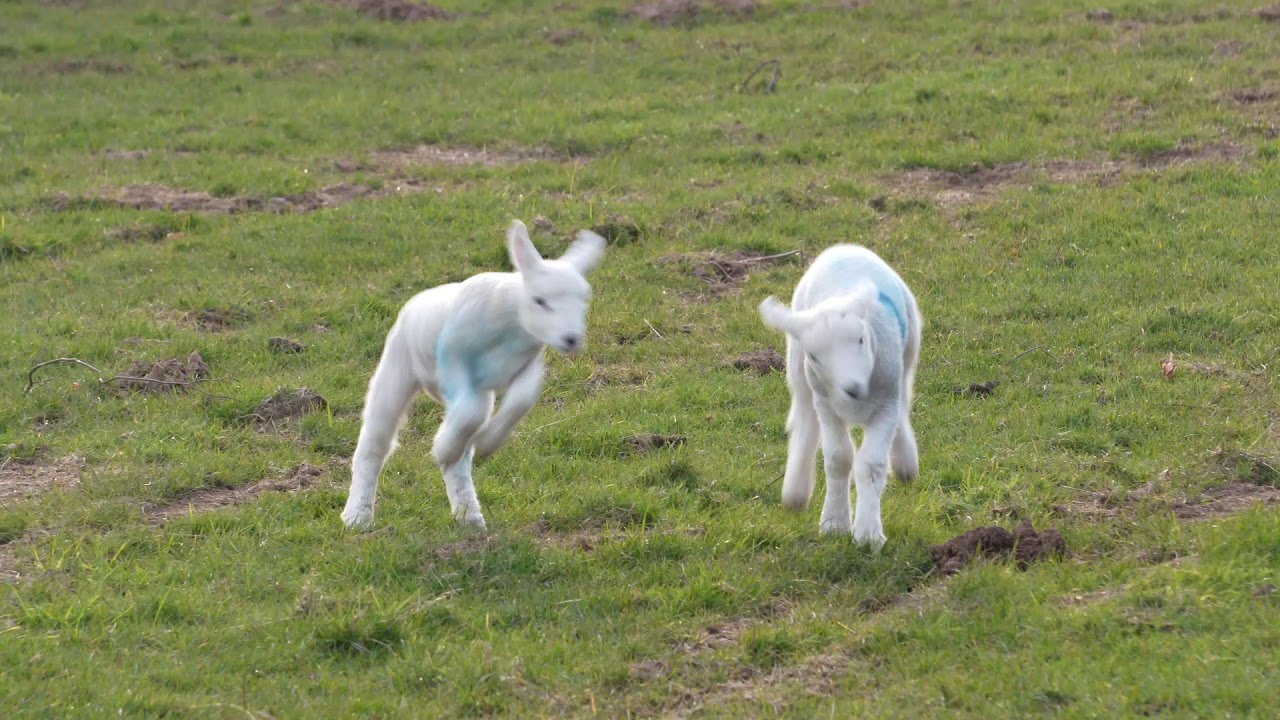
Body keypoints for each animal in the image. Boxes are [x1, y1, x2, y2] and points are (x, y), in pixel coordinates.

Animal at [340, 220, 606, 532]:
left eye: (584, 301)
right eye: (540, 300)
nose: (571, 339)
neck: (511, 327)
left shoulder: (528, 365)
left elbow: (520, 402)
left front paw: (486, 444)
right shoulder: (452, 359)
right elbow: (470, 412)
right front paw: (443, 448)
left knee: (462, 446)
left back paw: (469, 514)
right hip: (397, 370)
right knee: (375, 444)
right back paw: (358, 515)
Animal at [758, 244, 921, 548]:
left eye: (861, 339)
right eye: (815, 355)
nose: (853, 388)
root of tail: (842, 247)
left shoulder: (885, 403)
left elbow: (871, 464)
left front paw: (868, 534)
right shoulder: (827, 405)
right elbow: (838, 458)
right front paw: (834, 523)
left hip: (908, 351)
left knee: (905, 399)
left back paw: (905, 462)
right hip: (799, 371)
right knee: (805, 420)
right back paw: (796, 491)